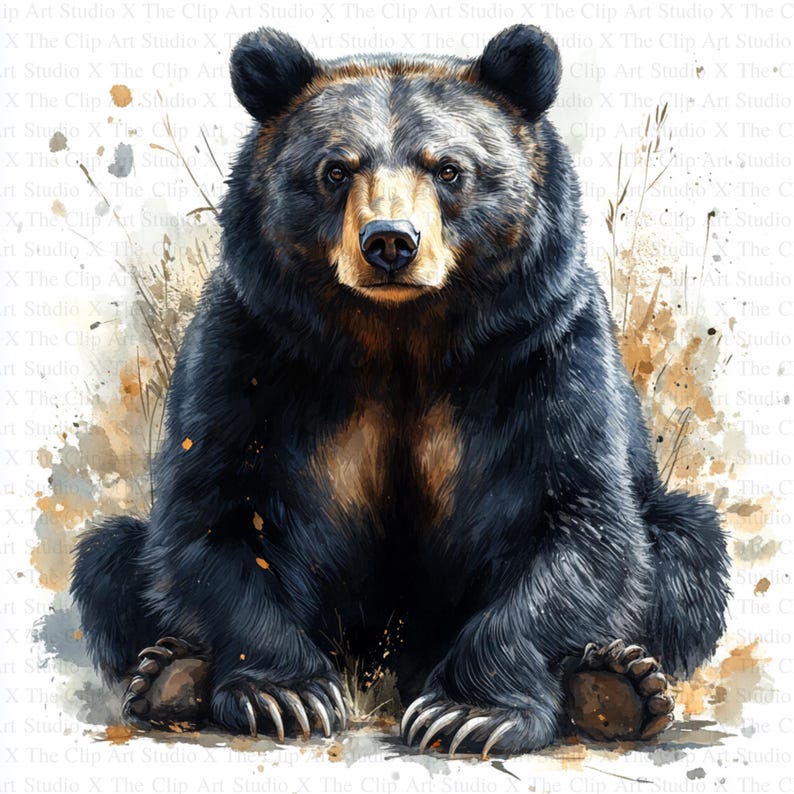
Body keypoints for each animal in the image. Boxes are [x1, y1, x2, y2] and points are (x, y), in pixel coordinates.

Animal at [70, 25, 730, 757]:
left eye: (447, 168)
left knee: (688, 551)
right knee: (108, 559)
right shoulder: (251, 346)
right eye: (336, 169)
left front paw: (469, 711)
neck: (399, 336)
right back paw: (170, 672)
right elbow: (213, 514)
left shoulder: (544, 349)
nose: (390, 242)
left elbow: (578, 521)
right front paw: (284, 694)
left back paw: (616, 683)